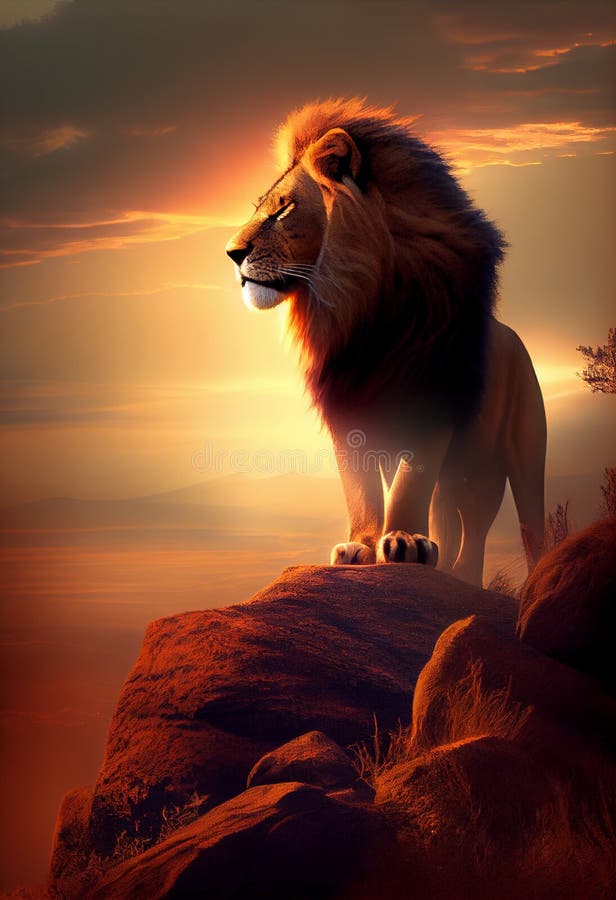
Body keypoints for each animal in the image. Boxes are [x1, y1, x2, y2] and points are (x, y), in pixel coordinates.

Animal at [225, 98, 546, 586]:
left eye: (283, 210)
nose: (231, 253)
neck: (363, 311)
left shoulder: (432, 397)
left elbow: (410, 482)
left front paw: (405, 542)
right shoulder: (346, 405)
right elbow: (359, 486)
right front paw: (361, 544)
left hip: (522, 451)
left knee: (508, 520)